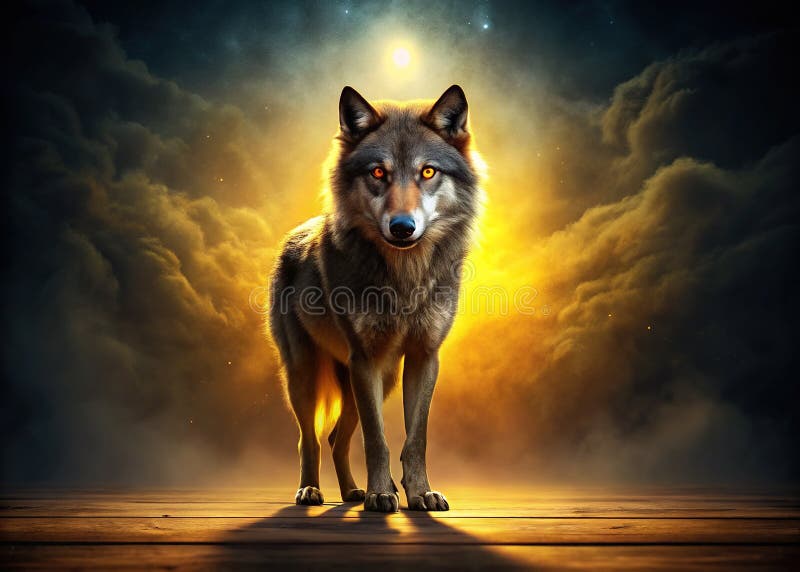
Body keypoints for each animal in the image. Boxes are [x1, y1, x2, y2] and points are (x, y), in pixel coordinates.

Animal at [269, 85, 483, 512]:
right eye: (378, 172)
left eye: (428, 171)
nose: (402, 227)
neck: (405, 278)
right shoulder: (365, 359)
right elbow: (377, 440)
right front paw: (382, 493)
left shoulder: (423, 358)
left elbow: (416, 439)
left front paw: (419, 493)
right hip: (306, 375)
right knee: (309, 439)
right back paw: (311, 491)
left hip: (376, 380)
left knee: (336, 438)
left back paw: (352, 492)